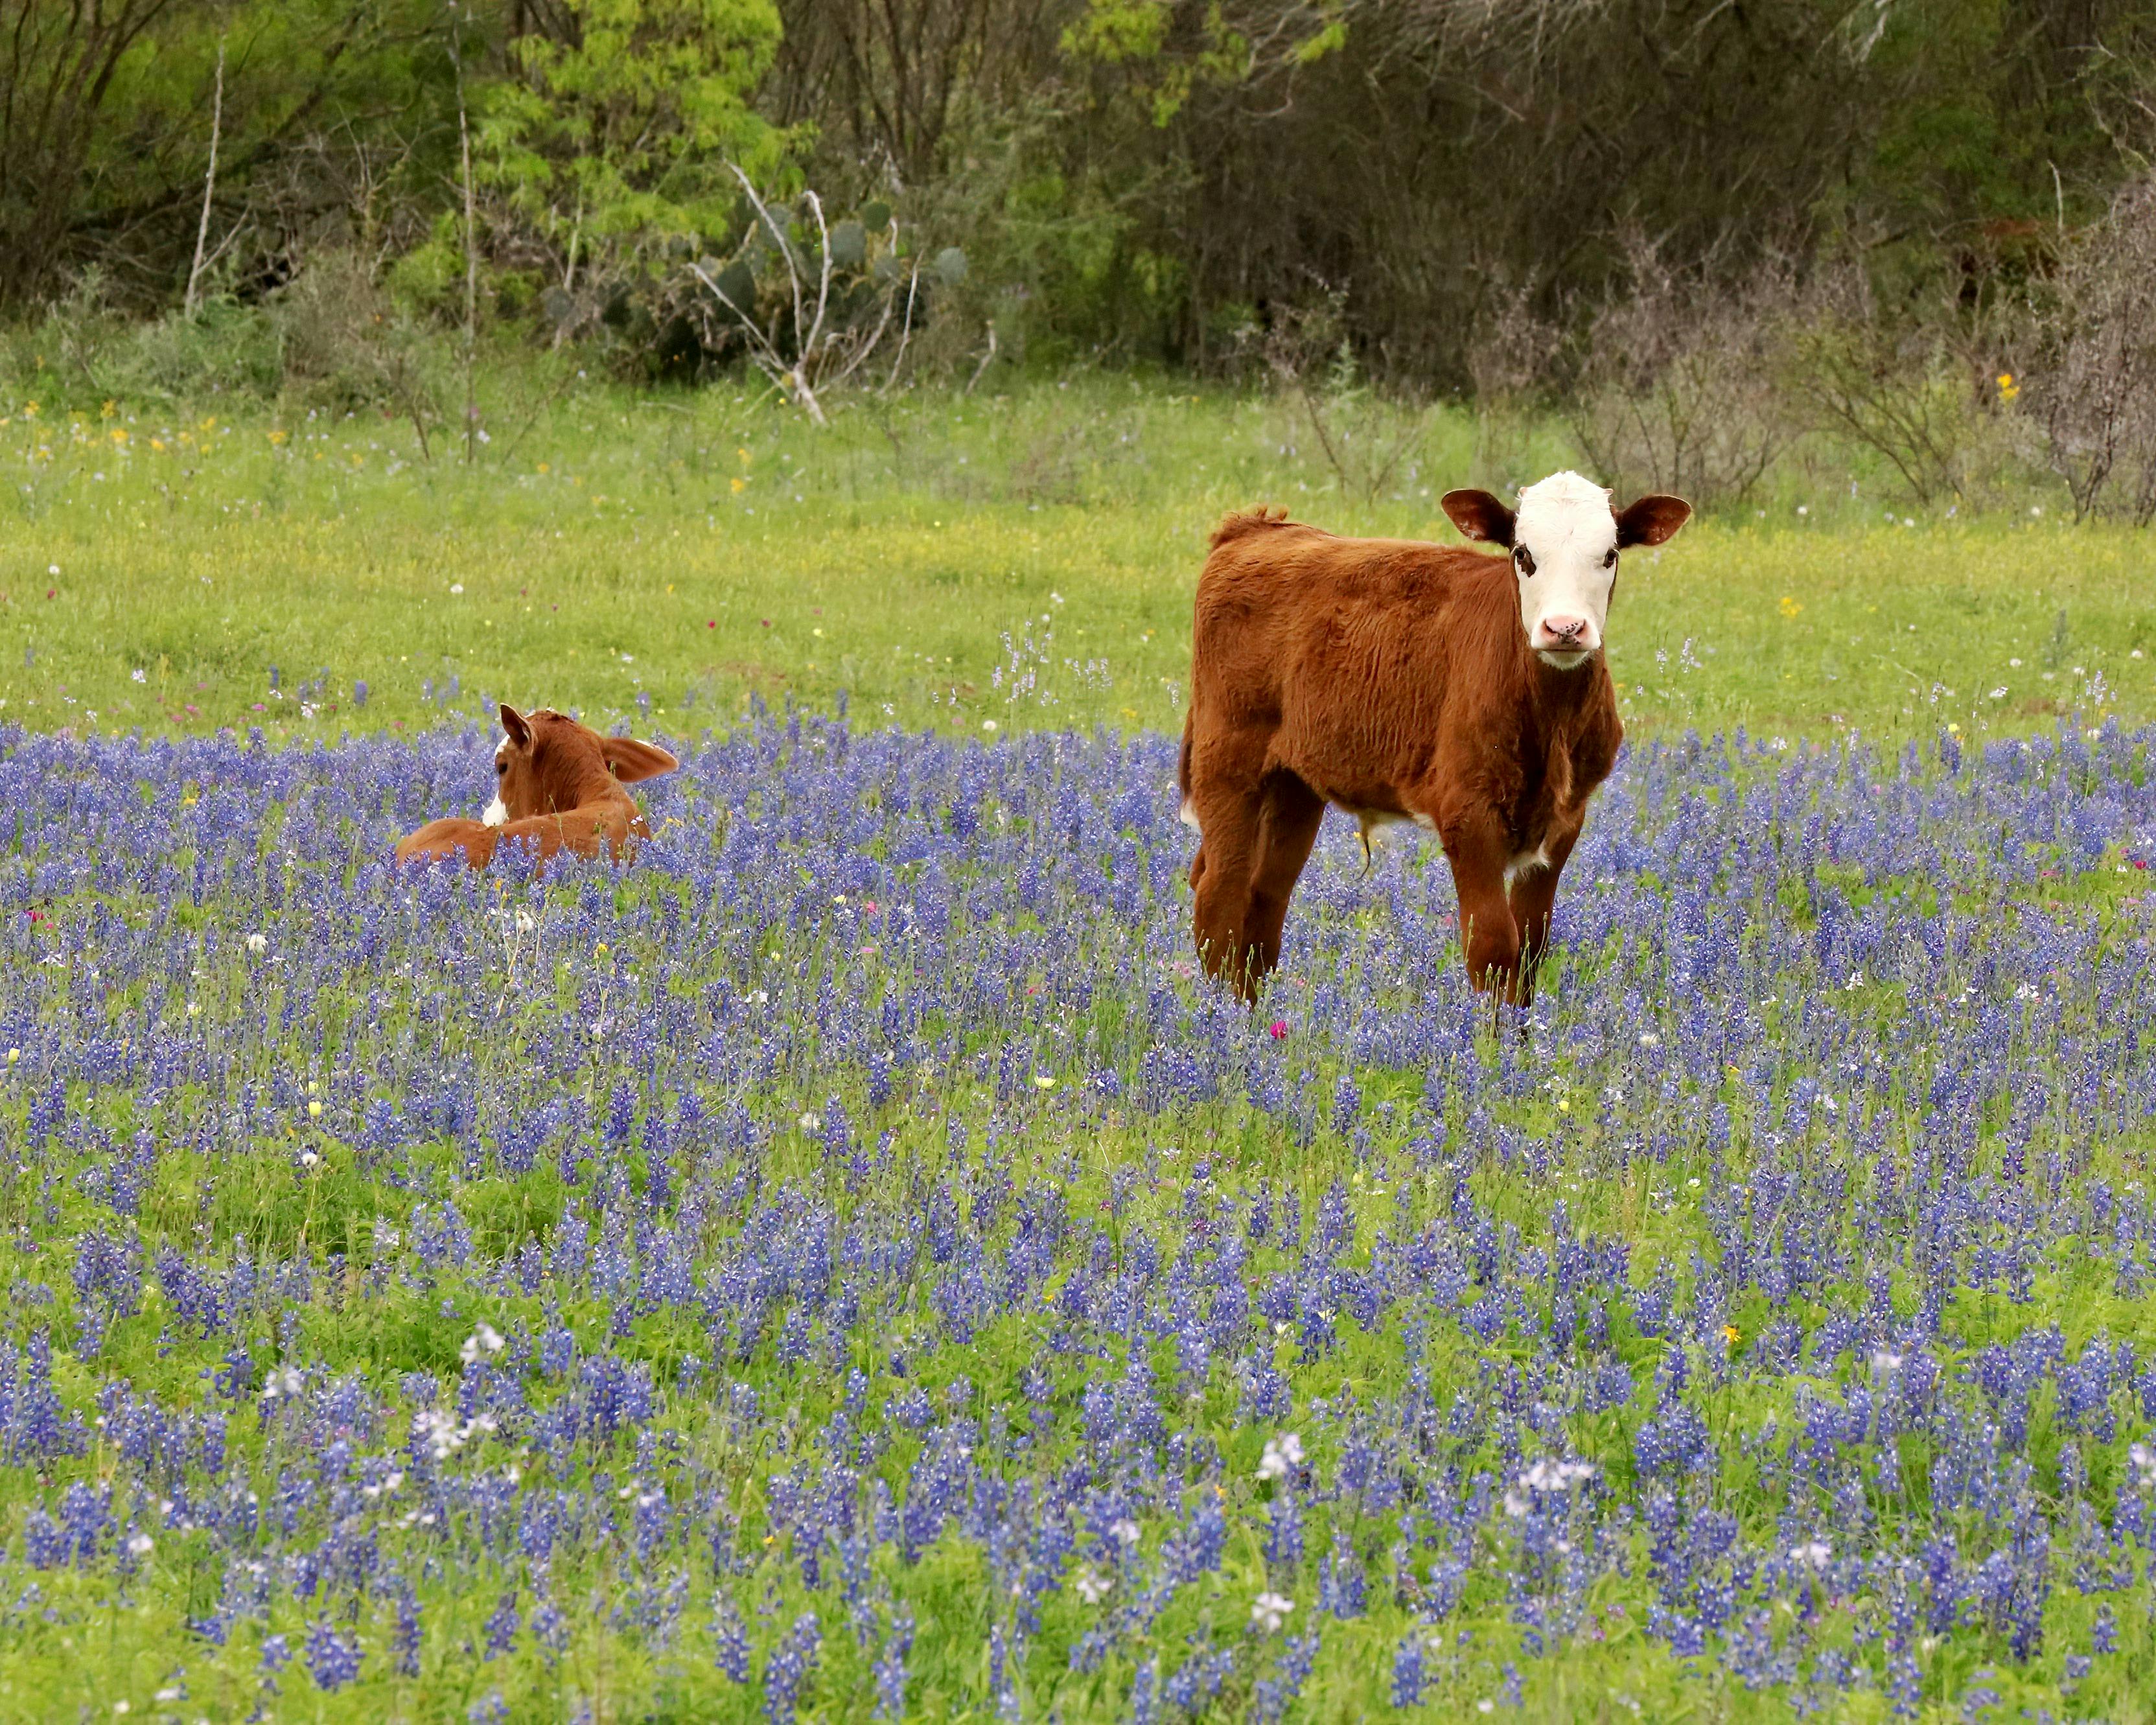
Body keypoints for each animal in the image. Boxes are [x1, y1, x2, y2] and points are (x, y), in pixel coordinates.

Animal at [1177, 470, 1691, 1008]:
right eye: (1522, 553)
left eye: (1609, 554)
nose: (1564, 628)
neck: (1549, 721)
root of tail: (1256, 529)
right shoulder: (1467, 811)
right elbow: (1493, 945)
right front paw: (1488, 1033)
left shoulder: (1566, 816)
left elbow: (1532, 944)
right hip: (1227, 764)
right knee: (1219, 894)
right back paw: (1220, 1014)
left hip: (1293, 785)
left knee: (1264, 901)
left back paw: (1251, 1016)